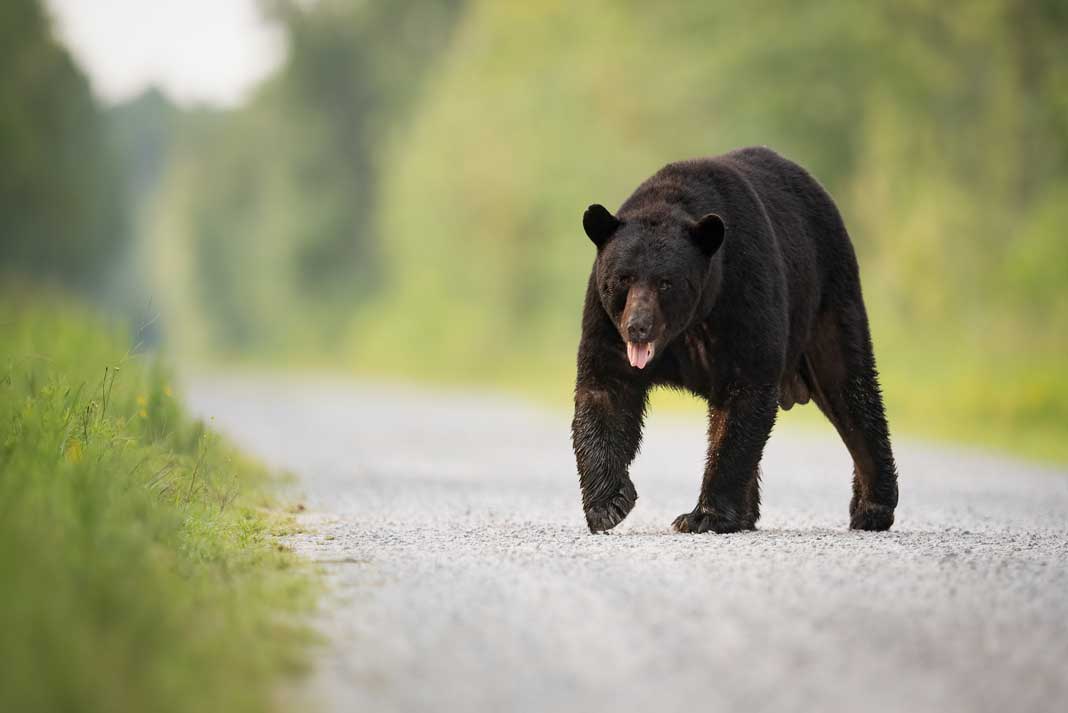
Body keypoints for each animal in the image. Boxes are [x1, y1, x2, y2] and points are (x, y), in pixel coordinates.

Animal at [572, 146, 899, 534]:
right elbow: (605, 389)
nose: (638, 326)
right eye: (623, 278)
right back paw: (746, 514)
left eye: (666, 282)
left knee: (849, 385)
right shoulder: (606, 321)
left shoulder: (743, 293)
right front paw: (608, 504)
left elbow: (746, 397)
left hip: (828, 294)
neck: (691, 322)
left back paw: (873, 507)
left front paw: (704, 515)